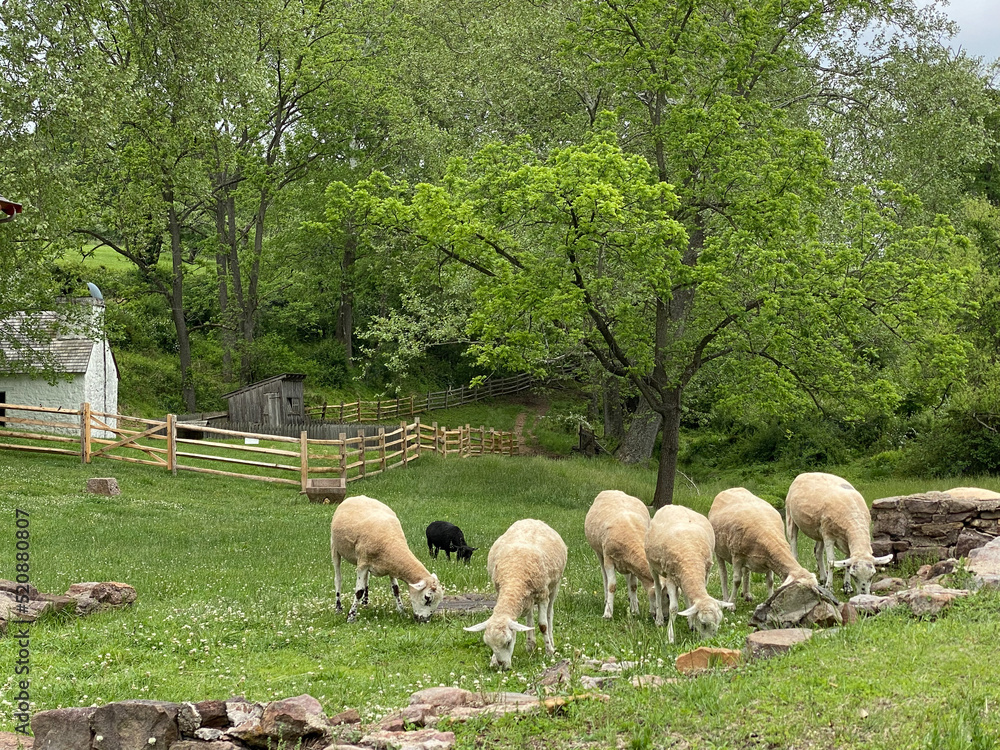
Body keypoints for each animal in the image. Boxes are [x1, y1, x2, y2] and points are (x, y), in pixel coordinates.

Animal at [463, 519, 567, 670]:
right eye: (489, 645)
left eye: (508, 642)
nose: (502, 667)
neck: (514, 577)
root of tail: (531, 519)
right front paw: (493, 660)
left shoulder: (543, 594)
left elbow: (543, 625)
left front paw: (549, 652)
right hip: (529, 598)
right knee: (530, 616)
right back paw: (530, 644)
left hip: (554, 585)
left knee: (549, 613)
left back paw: (551, 643)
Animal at [584, 490, 656, 619]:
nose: (665, 617)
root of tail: (611, 490)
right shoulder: (609, 560)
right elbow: (611, 586)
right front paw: (608, 613)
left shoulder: (633, 564)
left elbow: (633, 586)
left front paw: (635, 610)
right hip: (599, 553)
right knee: (605, 577)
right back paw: (606, 600)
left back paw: (632, 600)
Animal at [645, 504, 734, 644]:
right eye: (703, 623)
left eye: (718, 622)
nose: (710, 643)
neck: (691, 559)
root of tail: (672, 505)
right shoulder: (670, 578)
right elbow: (673, 608)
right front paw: (670, 637)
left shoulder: (705, 574)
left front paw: (692, 623)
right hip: (652, 565)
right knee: (658, 588)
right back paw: (659, 619)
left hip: (681, 577)